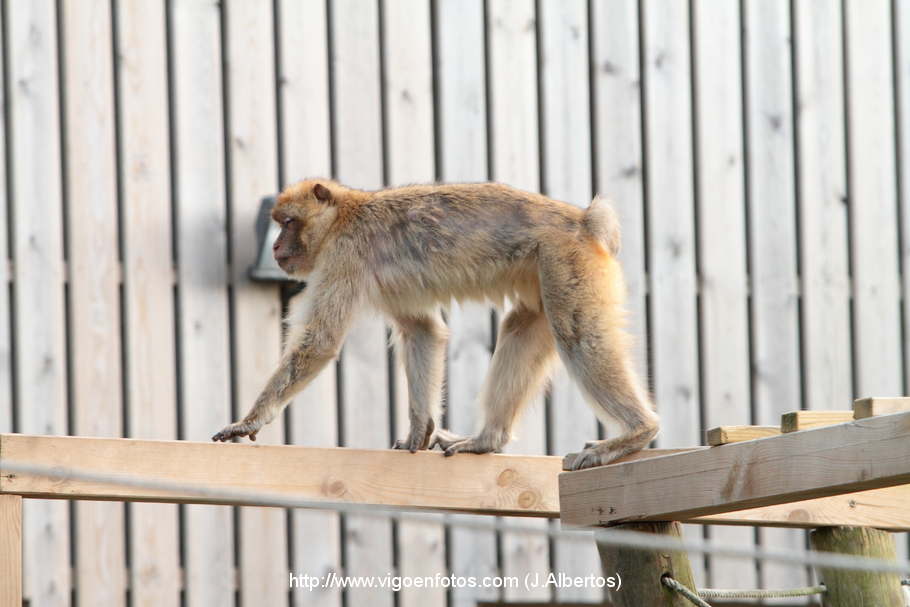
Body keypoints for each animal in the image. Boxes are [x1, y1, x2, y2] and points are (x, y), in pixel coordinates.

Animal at [211, 179, 659, 470]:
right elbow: (423, 332)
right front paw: (420, 430)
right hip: (545, 272)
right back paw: (487, 441)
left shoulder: (344, 256)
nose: (275, 246)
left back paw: (638, 431)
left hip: (566, 260)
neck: (344, 216)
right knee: (522, 328)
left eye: (287, 222)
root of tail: (583, 220)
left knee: (577, 335)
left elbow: (320, 341)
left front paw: (250, 420)